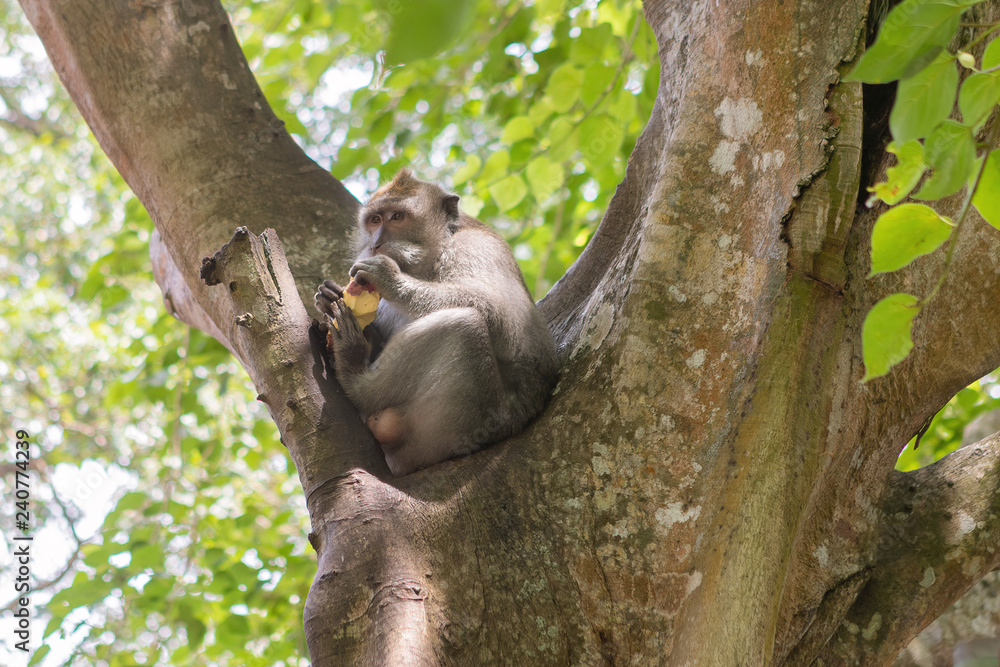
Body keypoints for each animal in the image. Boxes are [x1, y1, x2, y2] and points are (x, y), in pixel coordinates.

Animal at [315, 169, 558, 475]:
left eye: (398, 217)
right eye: (375, 220)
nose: (375, 244)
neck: (434, 255)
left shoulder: (477, 249)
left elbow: (510, 322)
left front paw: (391, 279)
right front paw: (328, 298)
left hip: (456, 428)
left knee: (464, 326)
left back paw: (355, 376)